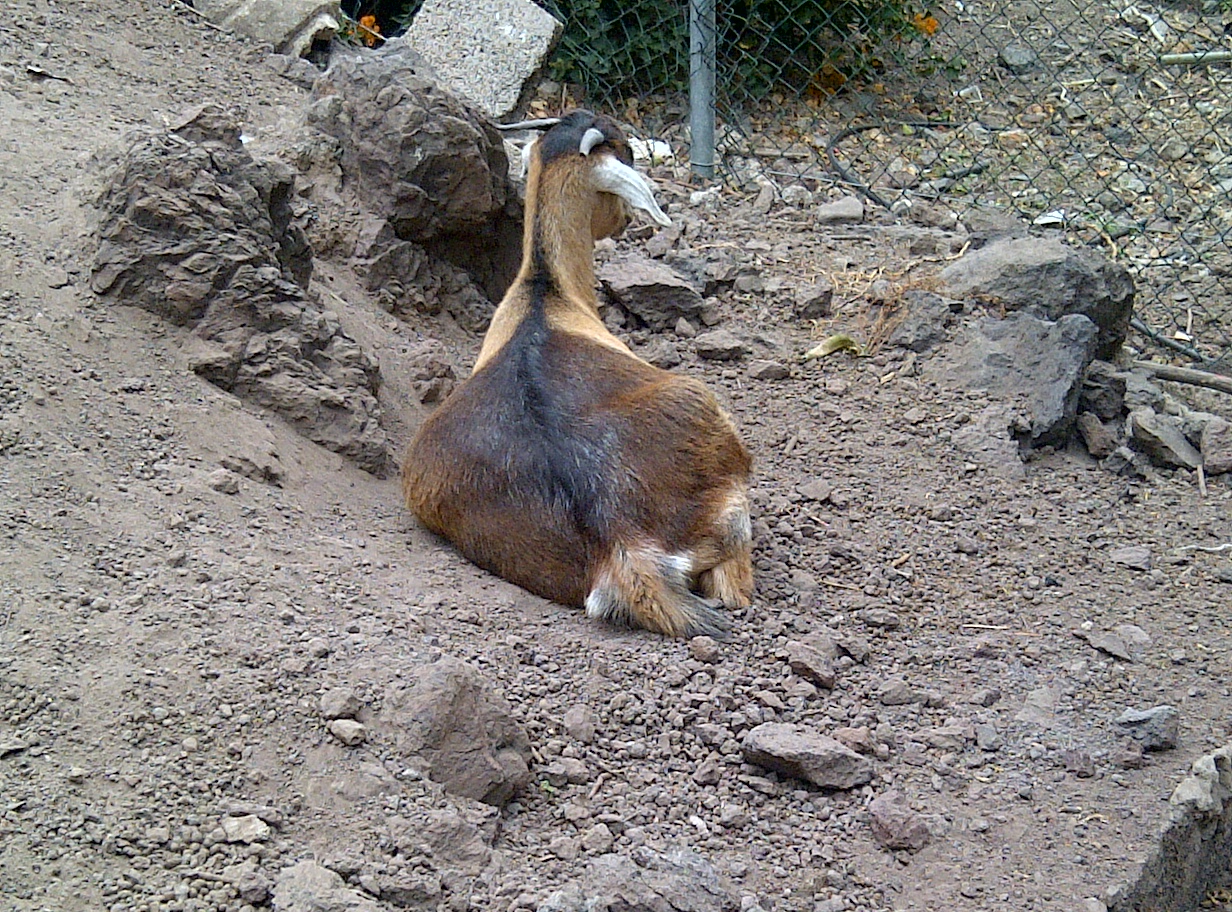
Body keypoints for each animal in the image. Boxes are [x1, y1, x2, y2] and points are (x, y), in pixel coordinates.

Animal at [401, 111, 752, 638]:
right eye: (627, 155)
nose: (623, 220)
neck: (546, 291)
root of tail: (623, 544)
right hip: (714, 451)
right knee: (734, 586)